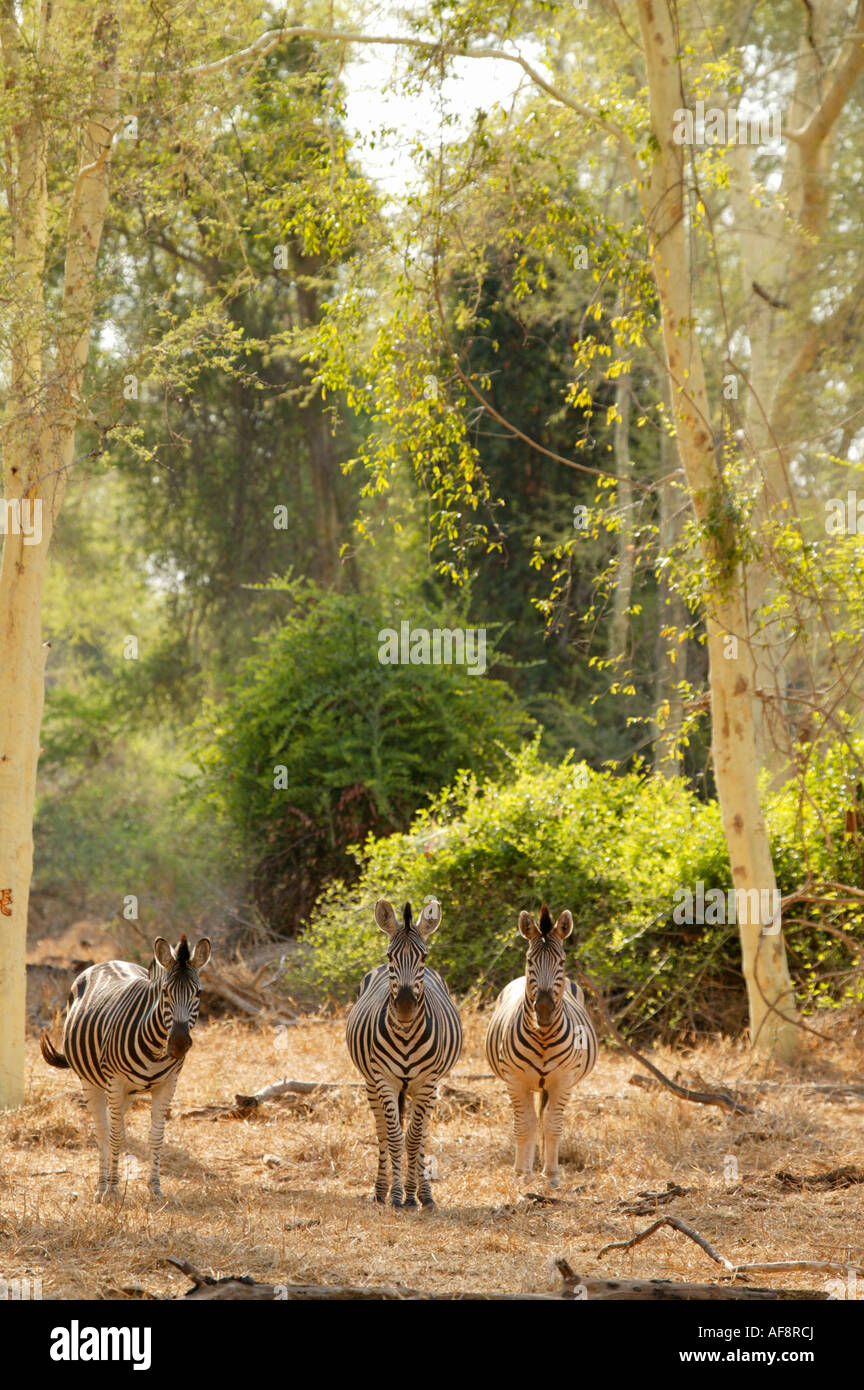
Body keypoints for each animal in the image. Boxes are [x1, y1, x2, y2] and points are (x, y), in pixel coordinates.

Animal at [39, 934, 211, 1202]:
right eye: (165, 992)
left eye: (199, 992)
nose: (179, 1043)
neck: (156, 1049)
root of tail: (107, 961)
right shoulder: (115, 1081)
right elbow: (116, 1137)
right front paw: (111, 1190)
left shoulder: (168, 1084)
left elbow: (156, 1137)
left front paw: (155, 1188)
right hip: (93, 1083)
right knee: (104, 1132)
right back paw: (102, 1186)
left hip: (126, 1093)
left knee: (114, 1126)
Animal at [346, 898, 462, 1209]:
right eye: (390, 956)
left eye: (424, 957)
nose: (406, 1008)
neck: (407, 1034)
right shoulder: (384, 1080)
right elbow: (395, 1137)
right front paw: (396, 1195)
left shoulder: (428, 1082)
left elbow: (414, 1138)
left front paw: (413, 1195)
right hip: (371, 1083)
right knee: (382, 1132)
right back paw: (380, 1191)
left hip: (430, 1088)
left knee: (421, 1135)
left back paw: (424, 1194)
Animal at [485, 905, 597, 1187]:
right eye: (529, 961)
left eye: (562, 962)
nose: (544, 1010)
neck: (544, 1037)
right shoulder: (515, 1080)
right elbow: (524, 1126)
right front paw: (522, 1173)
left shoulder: (563, 1080)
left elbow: (553, 1126)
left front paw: (552, 1175)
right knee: (533, 1121)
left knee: (544, 1120)